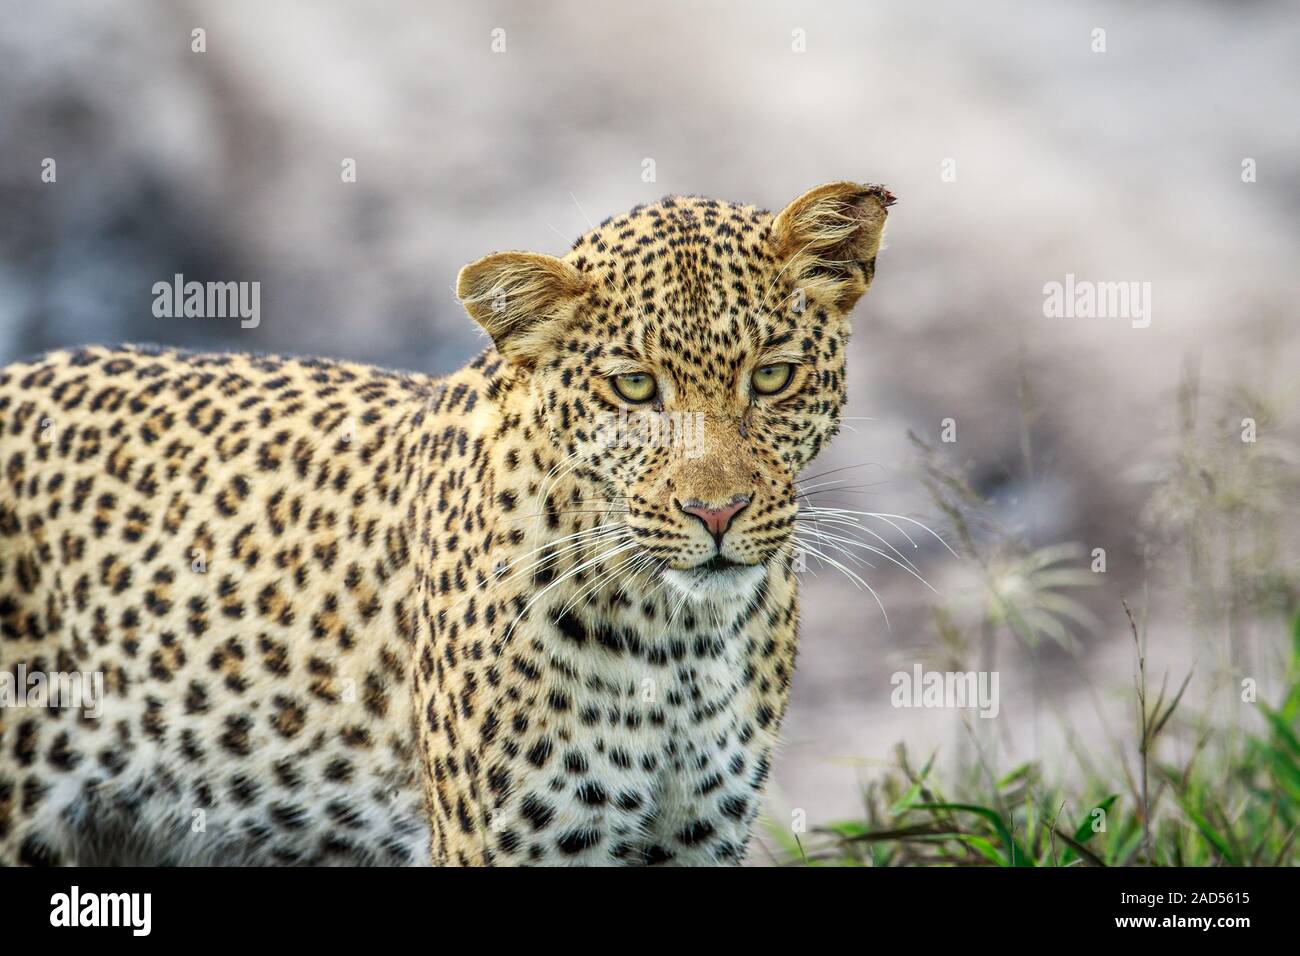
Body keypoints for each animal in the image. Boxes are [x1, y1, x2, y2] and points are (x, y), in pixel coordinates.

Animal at [0, 181, 893, 866]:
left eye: (773, 377)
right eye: (634, 388)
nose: (716, 511)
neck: (675, 642)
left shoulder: (696, 837)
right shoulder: (508, 844)